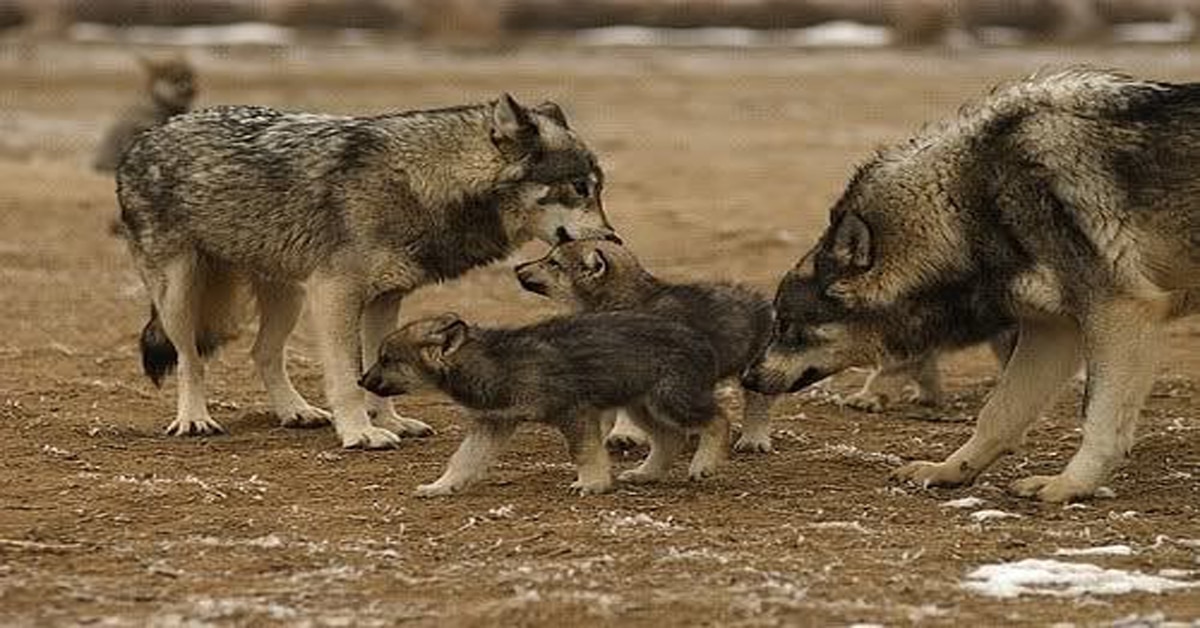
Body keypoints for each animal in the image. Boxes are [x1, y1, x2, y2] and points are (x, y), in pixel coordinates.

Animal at [118, 94, 617, 449]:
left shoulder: (385, 297)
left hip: (288, 296)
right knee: (189, 358)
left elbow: (379, 362)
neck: (419, 182)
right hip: (180, 294)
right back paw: (194, 419)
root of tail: (148, 135)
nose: (613, 239)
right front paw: (361, 432)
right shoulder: (336, 294)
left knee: (262, 353)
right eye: (580, 188)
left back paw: (295, 412)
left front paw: (391, 421)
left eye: (598, 189)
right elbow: (346, 376)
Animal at [359, 312, 728, 496]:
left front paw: (592, 484)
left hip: (669, 400)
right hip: (643, 405)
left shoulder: (573, 413)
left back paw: (703, 465)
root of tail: (699, 336)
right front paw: (441, 486)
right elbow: (463, 460)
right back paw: (646, 473)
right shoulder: (492, 423)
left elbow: (584, 453)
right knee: (670, 438)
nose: (360, 381)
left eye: (387, 360)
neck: (490, 363)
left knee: (719, 420)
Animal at [514, 239, 777, 452]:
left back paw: (754, 439)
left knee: (759, 401)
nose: (516, 267)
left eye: (553, 263)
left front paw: (624, 435)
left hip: (753, 367)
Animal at [742, 67, 1200, 502]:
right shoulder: (1054, 330)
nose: (748, 378)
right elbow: (998, 413)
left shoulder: (1119, 313)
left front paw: (1070, 486)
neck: (971, 201)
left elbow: (1098, 418)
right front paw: (948, 471)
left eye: (786, 326)